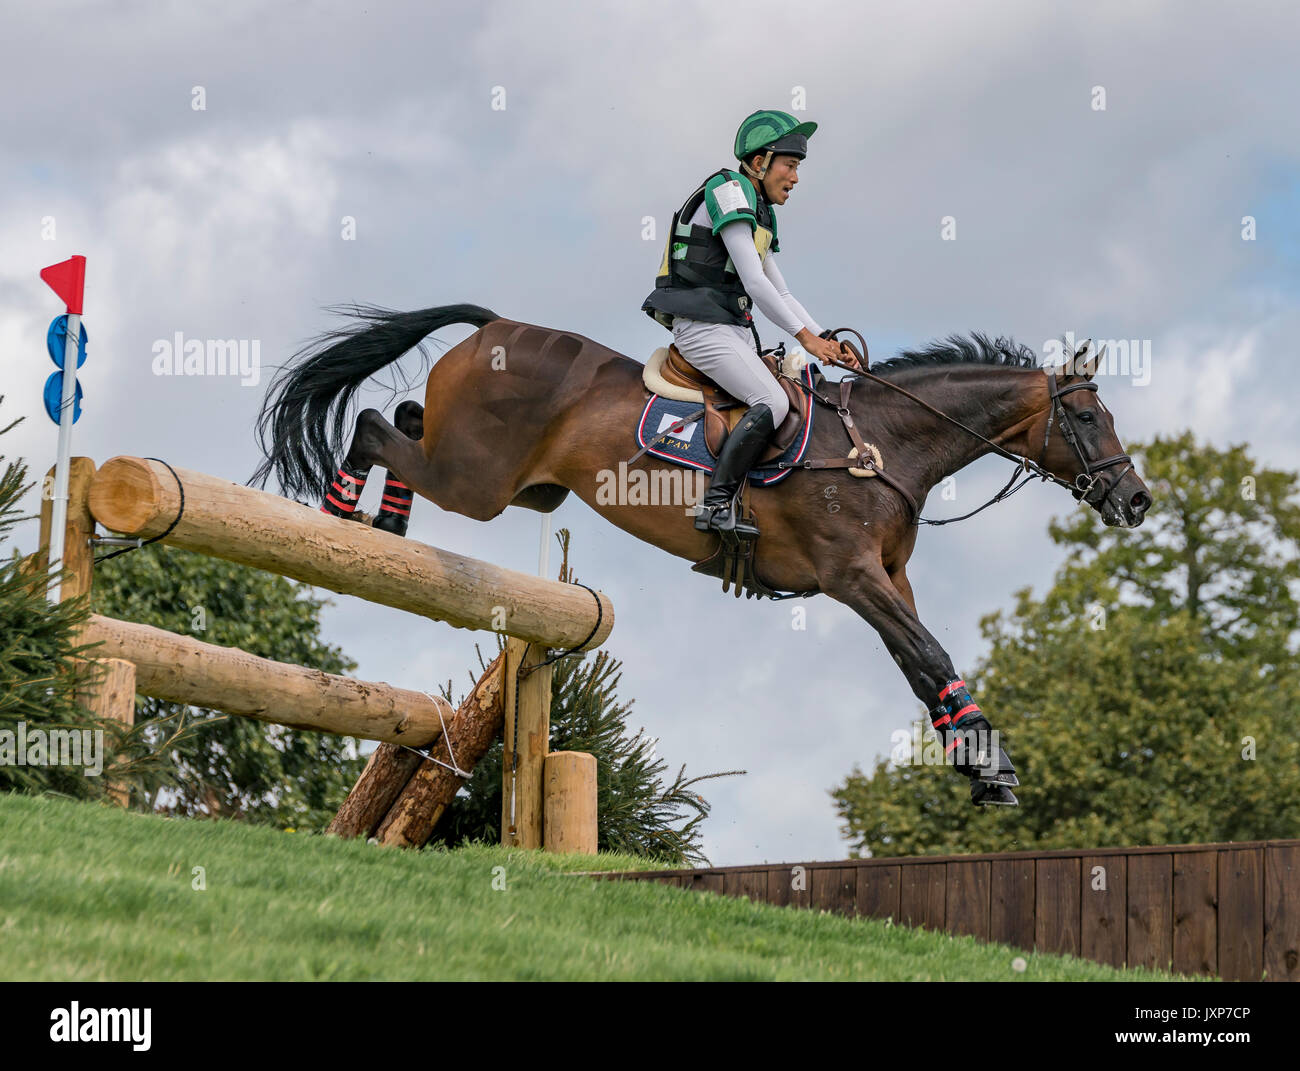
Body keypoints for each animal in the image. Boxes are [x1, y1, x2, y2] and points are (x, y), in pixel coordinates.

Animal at [251, 304, 1152, 807]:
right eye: (1089, 419)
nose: (1136, 499)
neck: (881, 444)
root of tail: (494, 327)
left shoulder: (889, 578)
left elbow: (922, 664)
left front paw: (978, 764)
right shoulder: (852, 576)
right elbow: (929, 653)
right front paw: (994, 768)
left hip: (520, 486)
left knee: (404, 416)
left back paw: (381, 523)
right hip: (476, 479)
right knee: (375, 424)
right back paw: (345, 515)